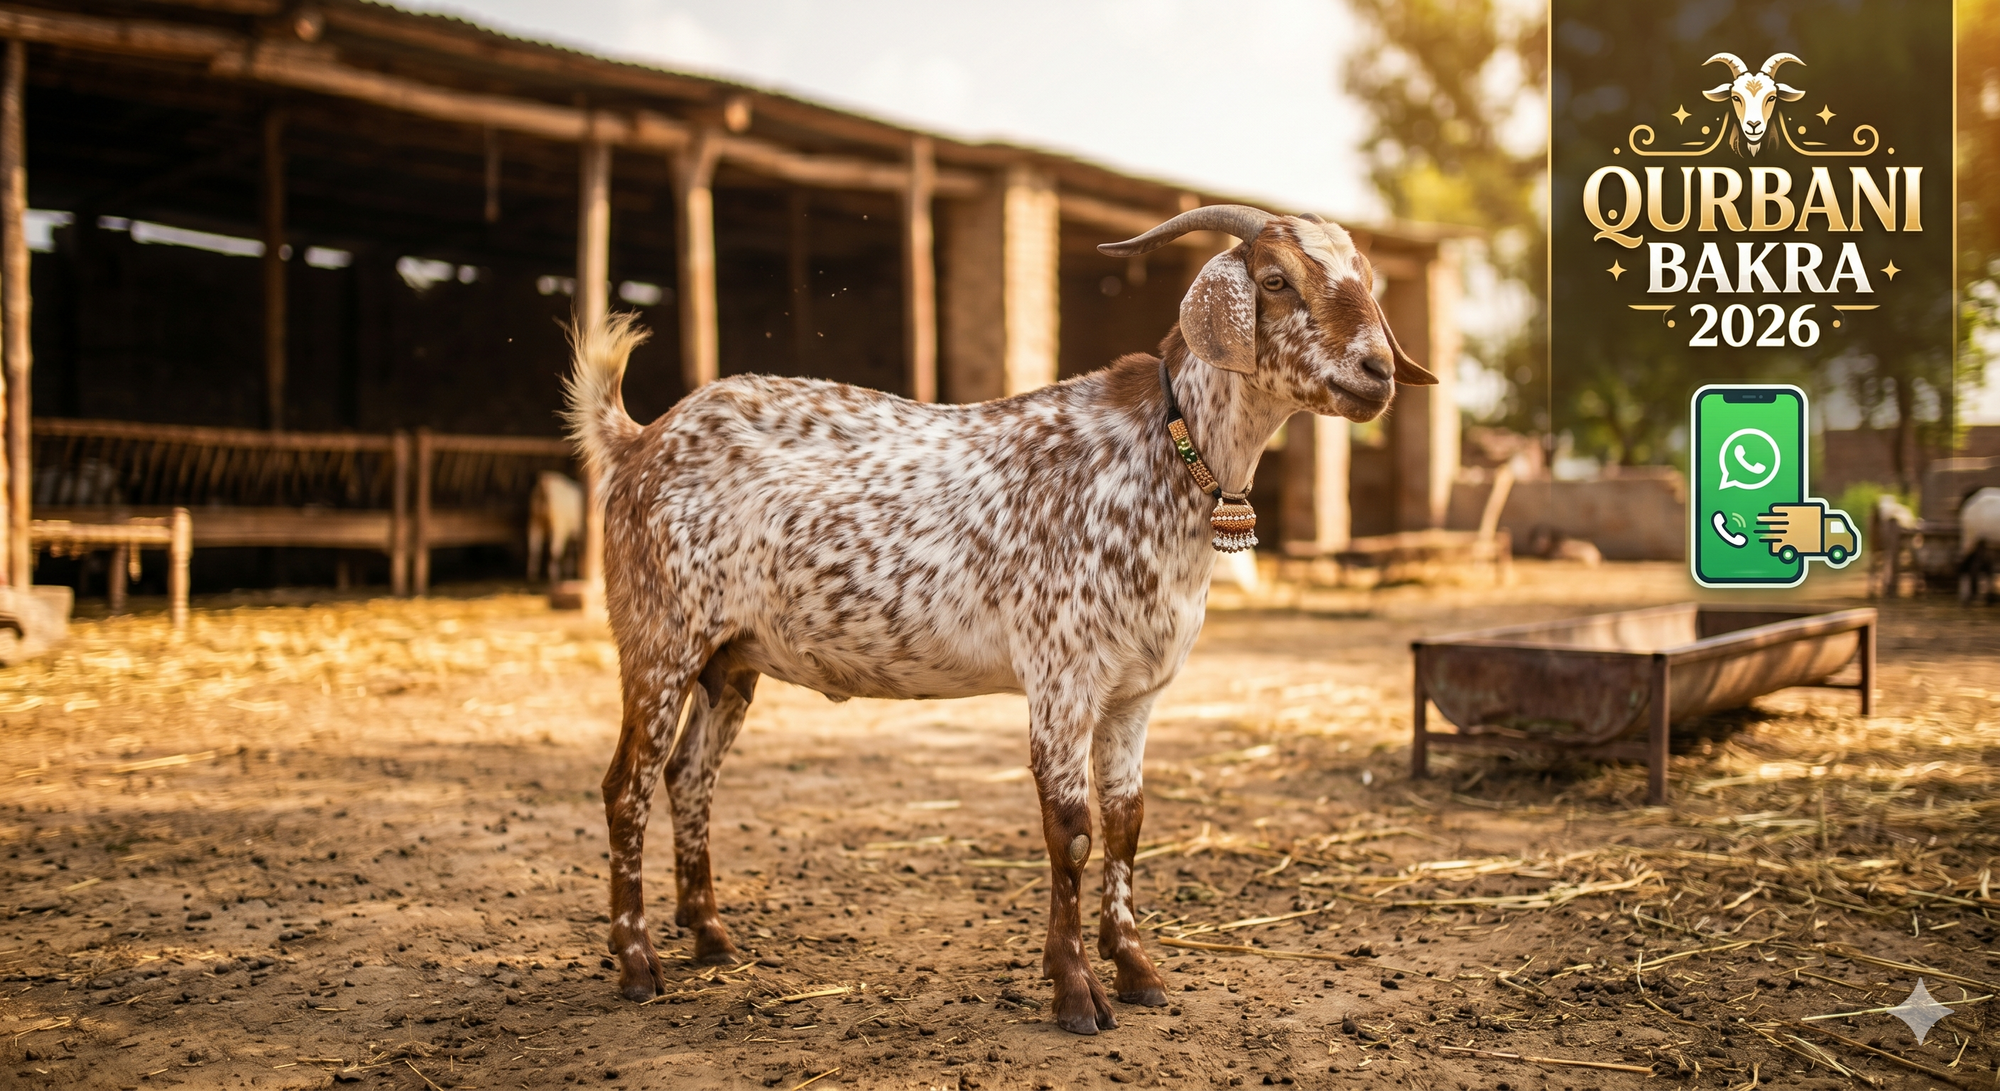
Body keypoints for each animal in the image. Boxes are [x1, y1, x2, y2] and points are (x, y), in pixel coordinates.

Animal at [563, 204, 1435, 1034]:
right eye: (1278, 279)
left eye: (1365, 279)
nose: (1377, 370)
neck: (1155, 458)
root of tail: (639, 439)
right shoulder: (1061, 673)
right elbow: (1072, 828)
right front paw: (1076, 991)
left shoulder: (1137, 691)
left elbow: (1127, 821)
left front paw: (1139, 970)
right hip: (659, 638)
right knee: (625, 785)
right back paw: (637, 962)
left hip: (731, 659)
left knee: (689, 774)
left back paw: (710, 933)